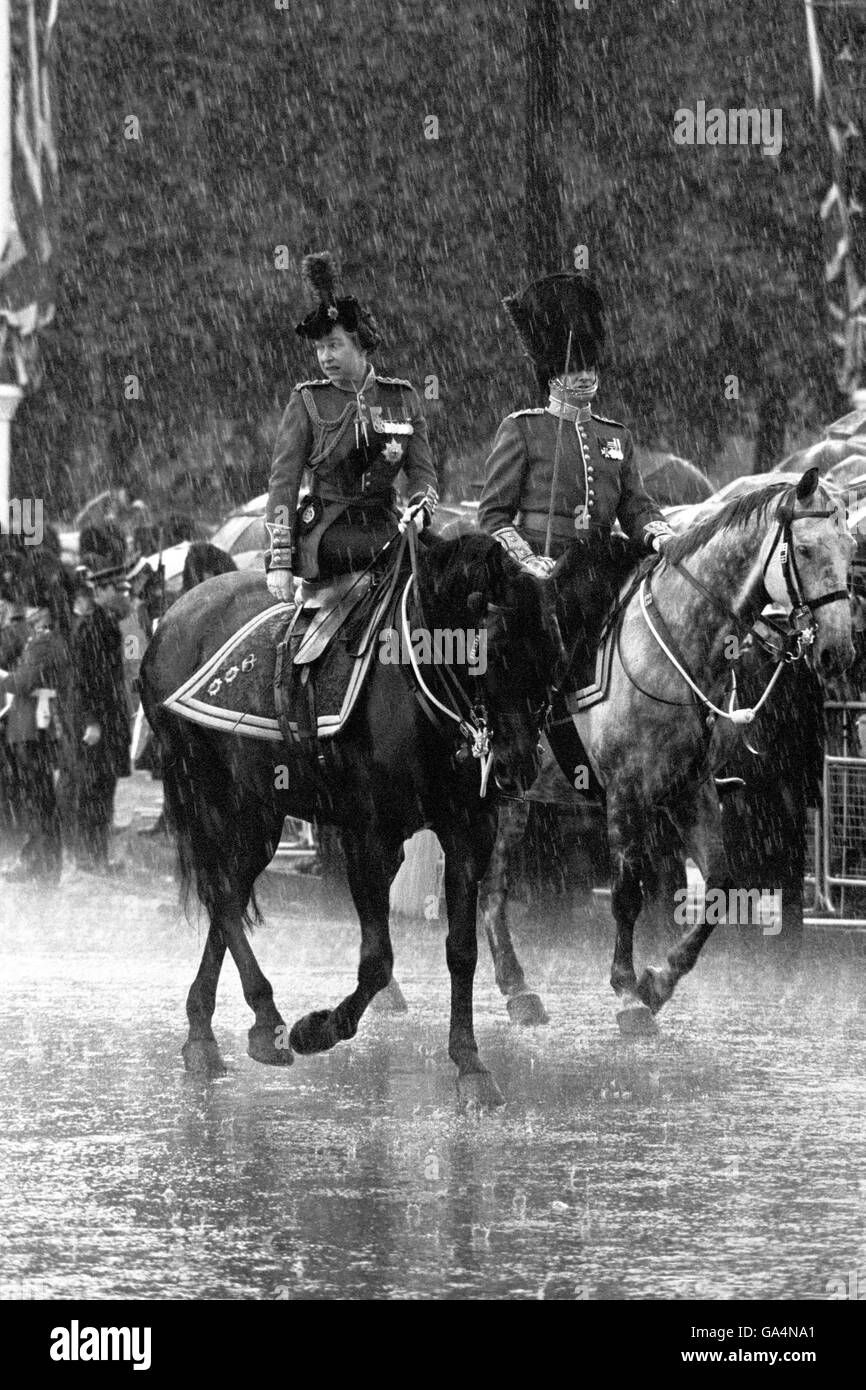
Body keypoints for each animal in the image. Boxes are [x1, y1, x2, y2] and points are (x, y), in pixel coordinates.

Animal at [140, 530, 561, 1106]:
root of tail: (173, 616)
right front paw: (317, 1029)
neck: (418, 688)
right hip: (206, 793)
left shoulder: (468, 831)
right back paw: (265, 1018)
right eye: (491, 650)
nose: (520, 764)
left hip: (260, 810)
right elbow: (378, 959)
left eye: (550, 646)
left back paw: (207, 1031)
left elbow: (461, 951)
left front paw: (470, 1064)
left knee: (230, 890)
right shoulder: (368, 836)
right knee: (221, 893)